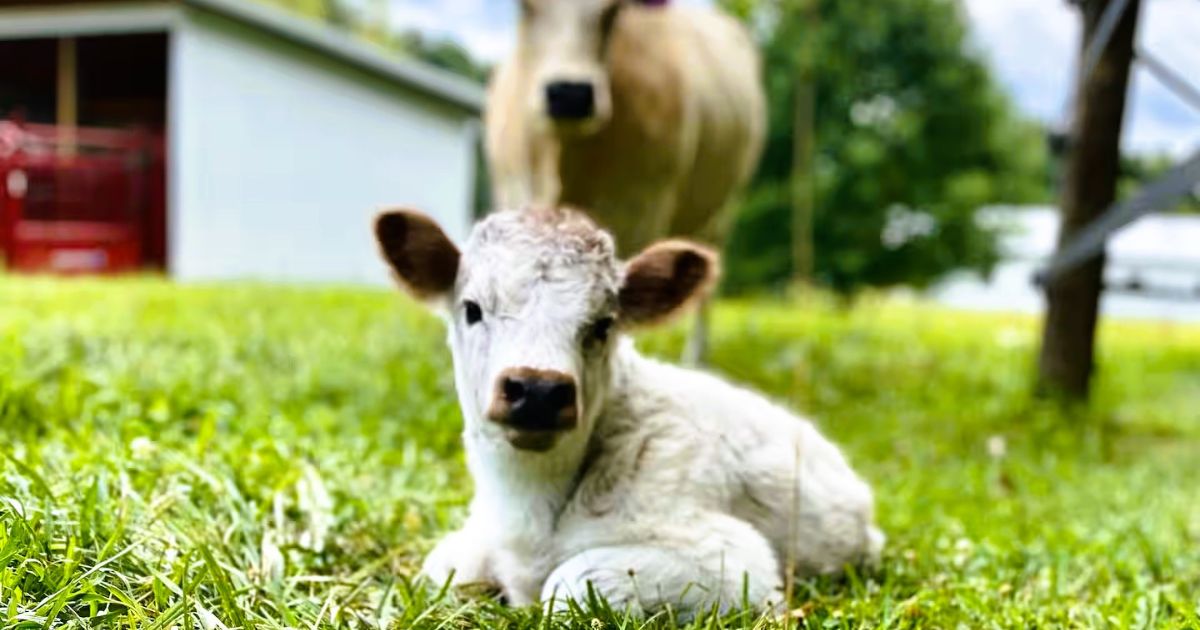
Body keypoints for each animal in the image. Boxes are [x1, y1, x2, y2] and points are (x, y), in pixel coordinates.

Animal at [374, 206, 883, 619]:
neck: (530, 509)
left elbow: (570, 583)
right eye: (472, 309)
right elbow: (447, 568)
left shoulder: (737, 560)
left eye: (603, 325)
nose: (538, 390)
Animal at [485, 0, 767, 362]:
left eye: (611, 12)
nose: (570, 94)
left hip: (719, 213)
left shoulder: (642, 204)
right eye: (526, 8)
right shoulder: (514, 189)